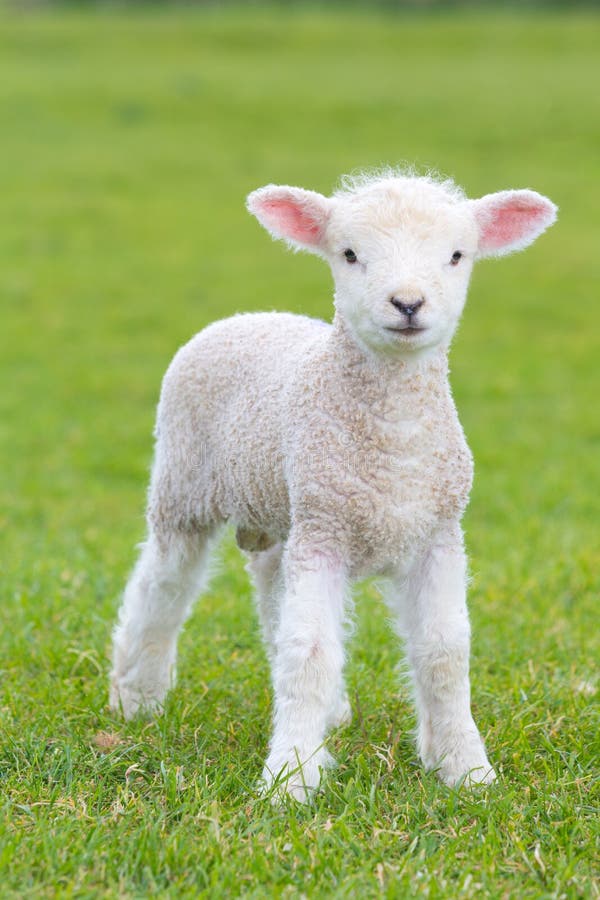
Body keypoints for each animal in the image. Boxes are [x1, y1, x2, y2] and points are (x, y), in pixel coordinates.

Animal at [110, 170, 557, 801]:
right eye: (349, 254)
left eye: (456, 255)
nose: (408, 303)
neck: (394, 443)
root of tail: (251, 314)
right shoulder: (324, 533)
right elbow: (312, 651)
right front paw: (290, 779)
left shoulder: (437, 534)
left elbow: (445, 654)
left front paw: (466, 770)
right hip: (185, 483)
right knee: (163, 585)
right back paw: (136, 696)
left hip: (283, 509)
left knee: (270, 590)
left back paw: (329, 710)